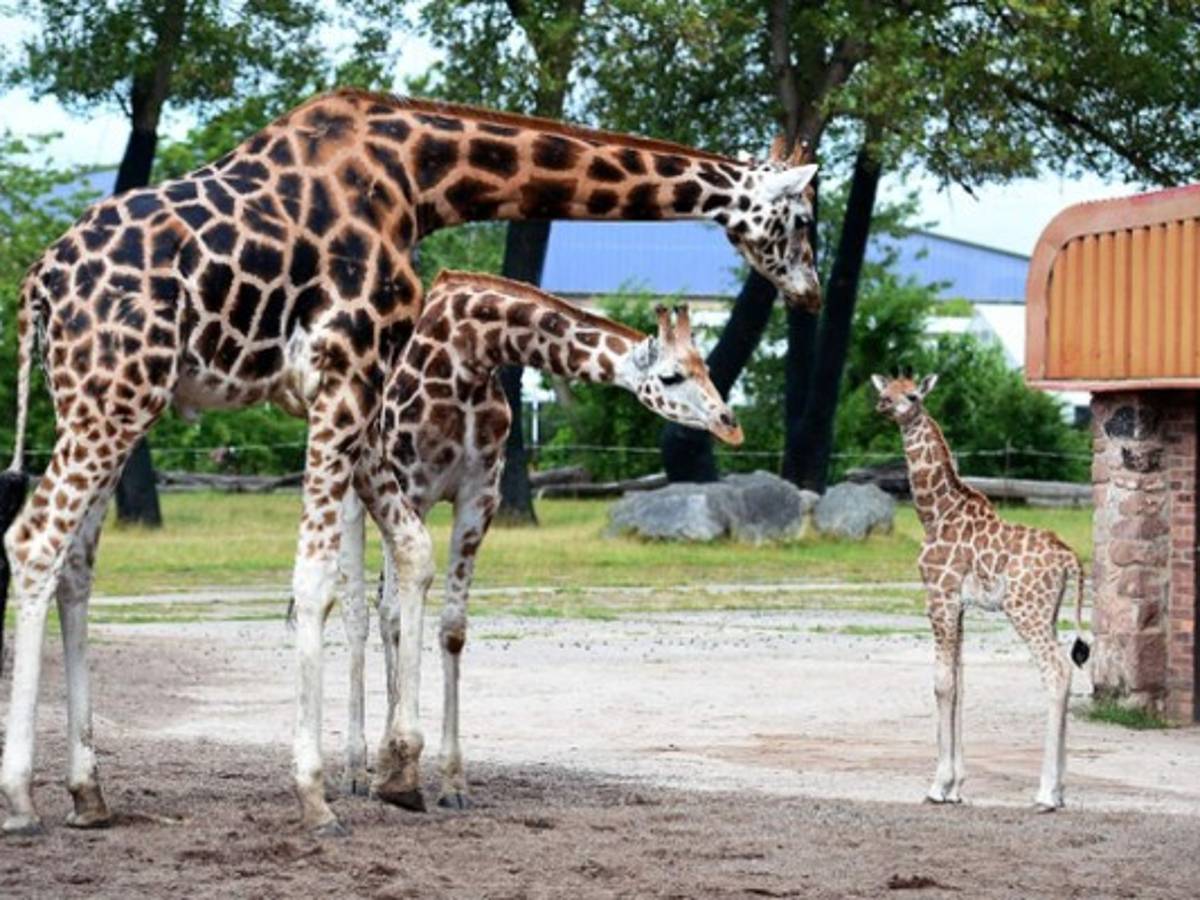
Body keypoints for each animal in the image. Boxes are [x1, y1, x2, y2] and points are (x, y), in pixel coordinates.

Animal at [333, 271, 741, 809]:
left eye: (706, 366)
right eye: (673, 376)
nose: (728, 423)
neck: (470, 354)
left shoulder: (479, 498)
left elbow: (452, 629)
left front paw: (452, 781)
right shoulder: (411, 485)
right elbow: (398, 616)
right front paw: (398, 769)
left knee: (382, 613)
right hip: (353, 495)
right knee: (362, 615)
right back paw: (355, 768)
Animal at [872, 374, 1090, 811]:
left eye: (913, 395)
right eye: (887, 389)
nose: (884, 404)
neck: (934, 514)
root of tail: (1069, 558)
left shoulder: (938, 595)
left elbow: (942, 682)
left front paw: (938, 786)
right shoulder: (958, 606)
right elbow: (960, 682)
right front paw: (956, 788)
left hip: (1024, 610)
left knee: (1057, 671)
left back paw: (1046, 793)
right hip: (1048, 611)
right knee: (1066, 671)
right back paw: (1059, 792)